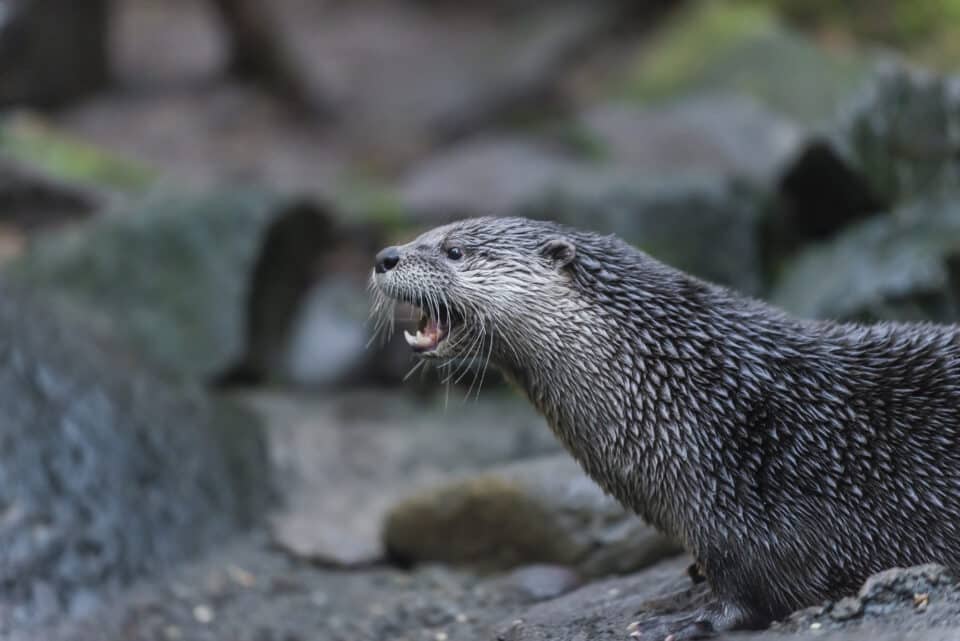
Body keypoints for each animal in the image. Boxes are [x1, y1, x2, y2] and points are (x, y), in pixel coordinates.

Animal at [370, 217, 960, 640]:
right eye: (423, 235)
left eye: (454, 251)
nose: (384, 257)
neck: (693, 392)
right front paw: (683, 590)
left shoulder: (747, 500)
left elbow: (761, 586)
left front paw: (686, 619)